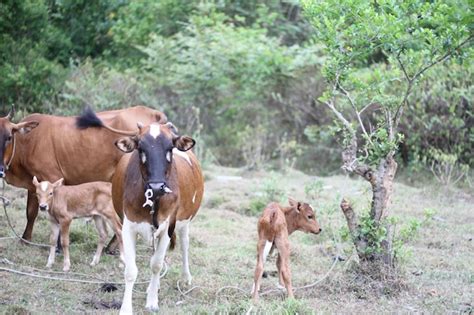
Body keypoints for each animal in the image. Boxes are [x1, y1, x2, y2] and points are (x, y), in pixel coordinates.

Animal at [0, 106, 167, 242]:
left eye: (9, 137)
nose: (1, 168)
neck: (27, 141)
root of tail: (152, 112)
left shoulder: (53, 177)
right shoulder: (34, 183)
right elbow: (31, 212)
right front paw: (25, 239)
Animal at [76, 109, 204, 314]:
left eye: (170, 148)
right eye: (140, 148)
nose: (157, 186)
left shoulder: (168, 227)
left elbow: (156, 264)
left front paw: (152, 301)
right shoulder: (129, 226)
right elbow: (131, 270)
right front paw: (126, 307)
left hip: (184, 221)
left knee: (184, 245)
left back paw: (185, 278)